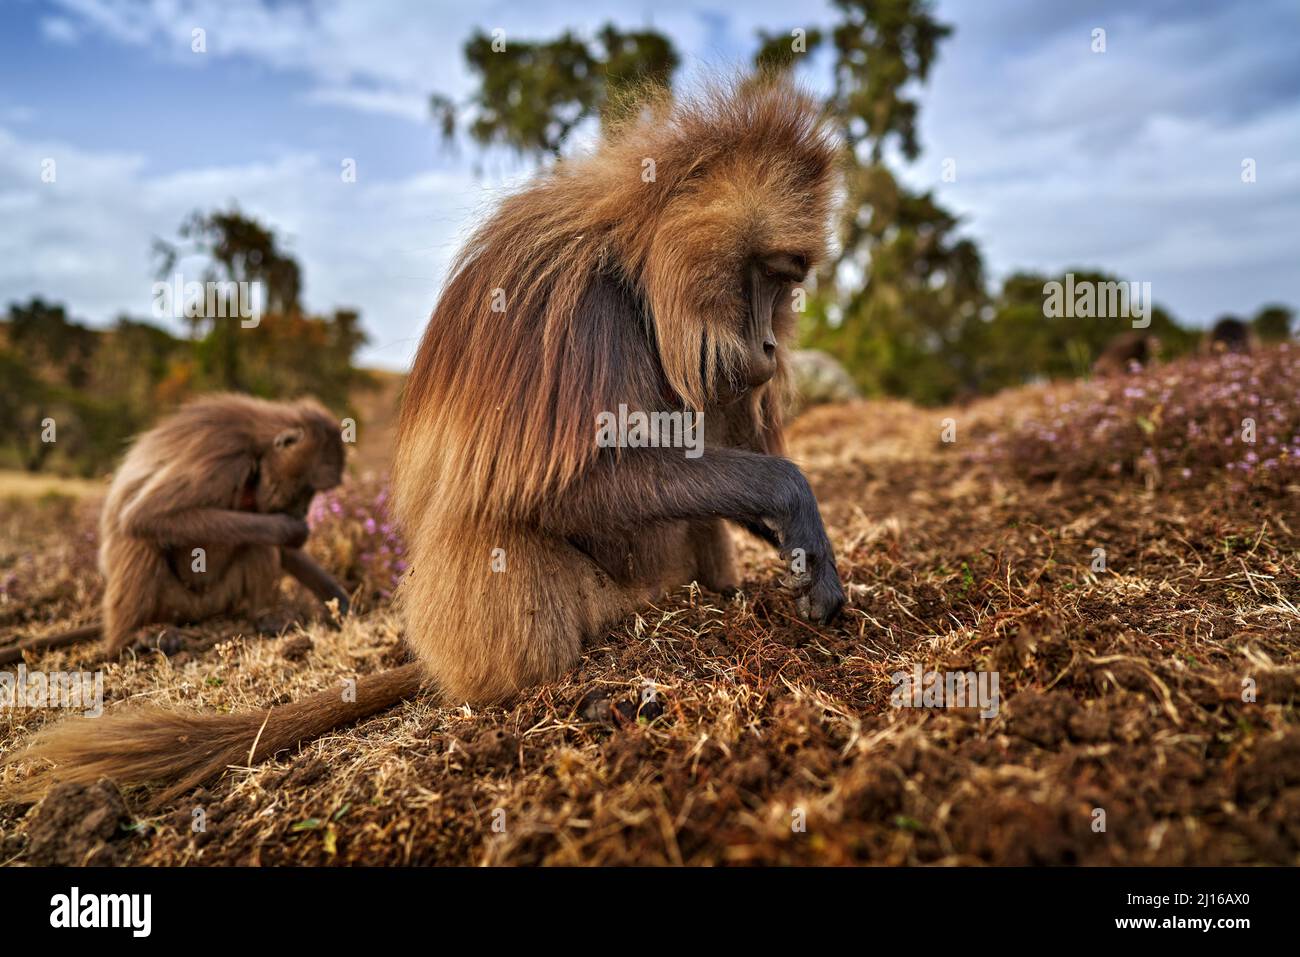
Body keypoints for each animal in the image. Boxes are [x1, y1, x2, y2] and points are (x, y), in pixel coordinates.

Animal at [0, 394, 350, 668]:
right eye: (307, 490)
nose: (302, 513)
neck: (258, 444)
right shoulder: (222, 456)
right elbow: (146, 515)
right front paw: (290, 529)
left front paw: (340, 601)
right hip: (172, 601)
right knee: (144, 539)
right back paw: (133, 637)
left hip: (218, 598)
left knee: (257, 543)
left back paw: (268, 618)